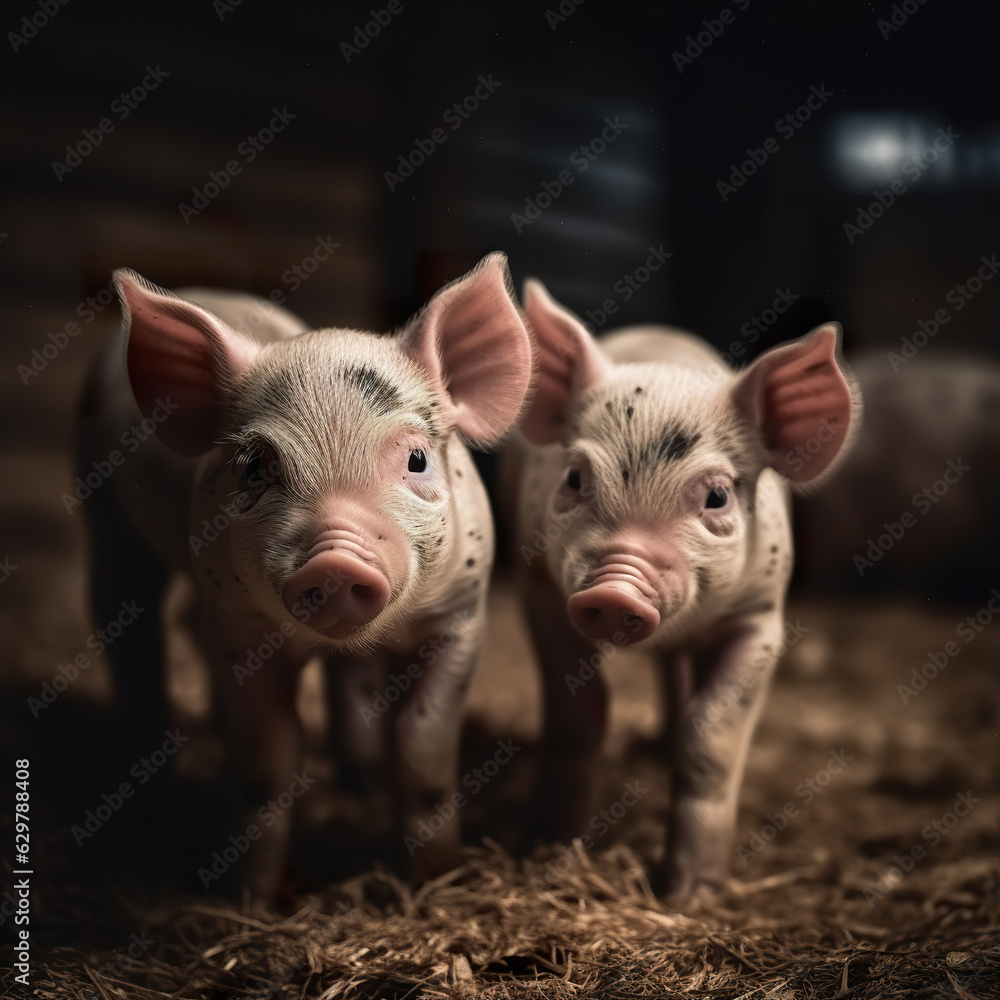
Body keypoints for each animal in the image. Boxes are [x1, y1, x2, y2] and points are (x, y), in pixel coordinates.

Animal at [75, 253, 533, 898]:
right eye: (256, 467)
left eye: (417, 459)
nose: (336, 560)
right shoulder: (242, 632)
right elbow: (269, 757)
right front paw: (257, 899)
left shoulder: (462, 617)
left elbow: (420, 741)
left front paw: (434, 884)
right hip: (101, 507)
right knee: (128, 622)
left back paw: (358, 779)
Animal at [504, 279, 861, 901]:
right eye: (574, 478)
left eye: (717, 496)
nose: (616, 592)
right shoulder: (542, 593)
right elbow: (579, 714)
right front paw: (548, 848)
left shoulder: (760, 616)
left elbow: (710, 731)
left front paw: (692, 894)